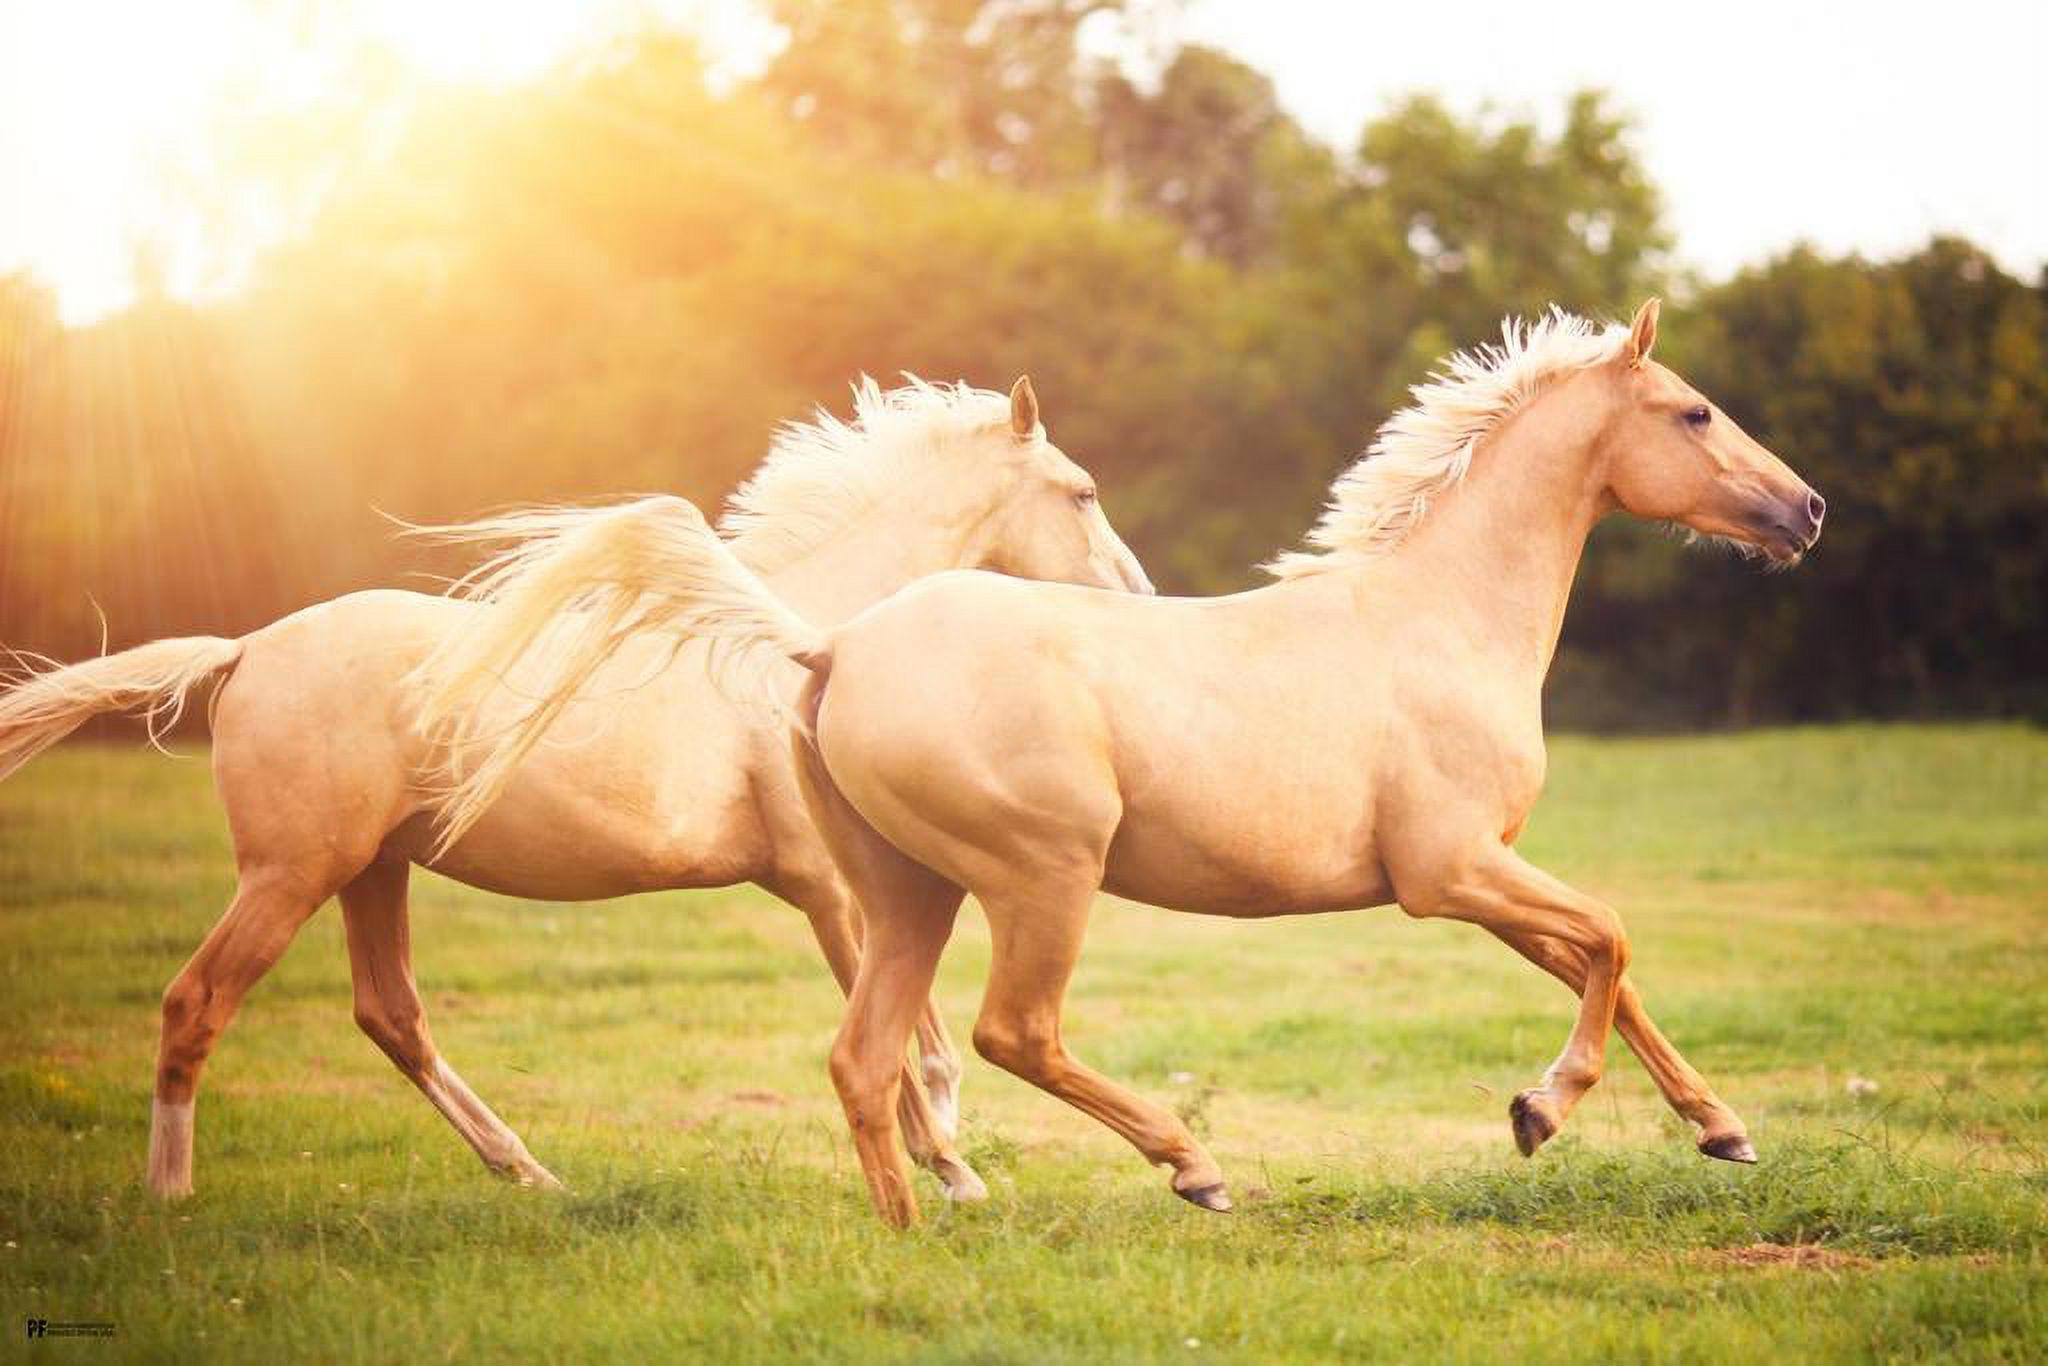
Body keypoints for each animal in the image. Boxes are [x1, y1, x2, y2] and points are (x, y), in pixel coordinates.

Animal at [0, 375, 1152, 1203]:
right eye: (1083, 491)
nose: (1140, 595)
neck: (805, 645)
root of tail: (242, 652)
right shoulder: (834, 890)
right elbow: (904, 1044)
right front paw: (953, 1173)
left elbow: (918, 1040)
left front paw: (949, 1165)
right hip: (290, 873)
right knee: (197, 1002)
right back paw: (171, 1196)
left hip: (371, 871)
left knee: (392, 1018)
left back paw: (529, 1172)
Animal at [421, 300, 1827, 1227]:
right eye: (1692, 411)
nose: (1805, 509)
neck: (1436, 617)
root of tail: (829, 646)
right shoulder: (1447, 873)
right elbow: (1610, 940)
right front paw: (1540, 1111)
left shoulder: (1482, 875)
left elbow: (1606, 966)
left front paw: (1722, 1131)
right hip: (1042, 874)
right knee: (1010, 1032)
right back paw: (1190, 1165)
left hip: (904, 894)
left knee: (865, 1059)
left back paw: (913, 1233)